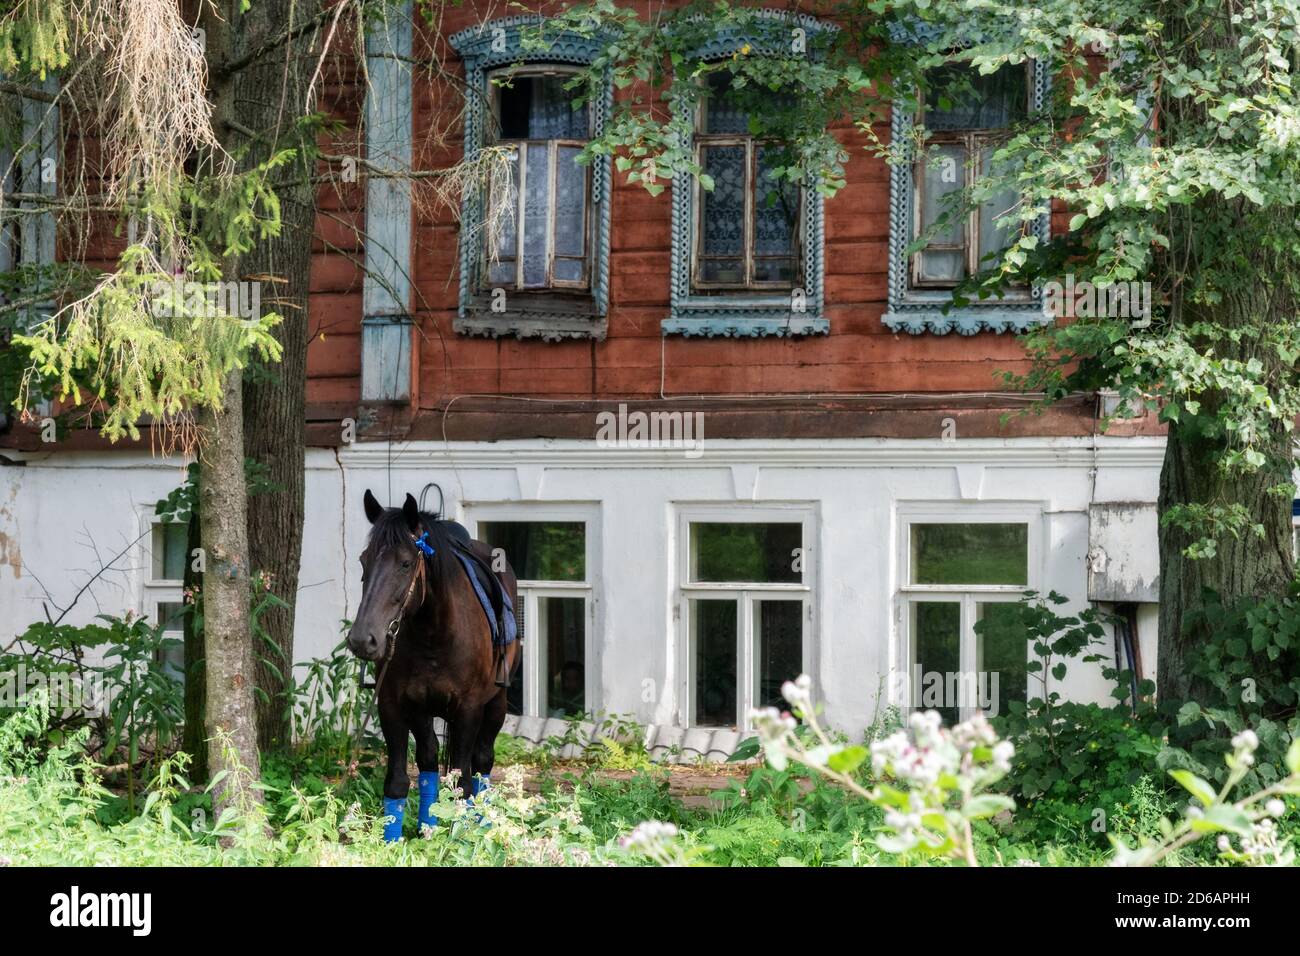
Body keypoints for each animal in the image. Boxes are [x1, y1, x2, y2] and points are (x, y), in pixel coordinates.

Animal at [347, 489, 520, 840]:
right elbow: (398, 781)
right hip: (423, 712)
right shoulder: (393, 706)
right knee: (428, 760)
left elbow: (462, 782)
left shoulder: (468, 710)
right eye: (363, 560)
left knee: (482, 762)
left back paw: (481, 822)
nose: (362, 639)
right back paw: (428, 826)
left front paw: (460, 840)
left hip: (496, 702)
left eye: (405, 563)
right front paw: (394, 842)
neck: (434, 635)